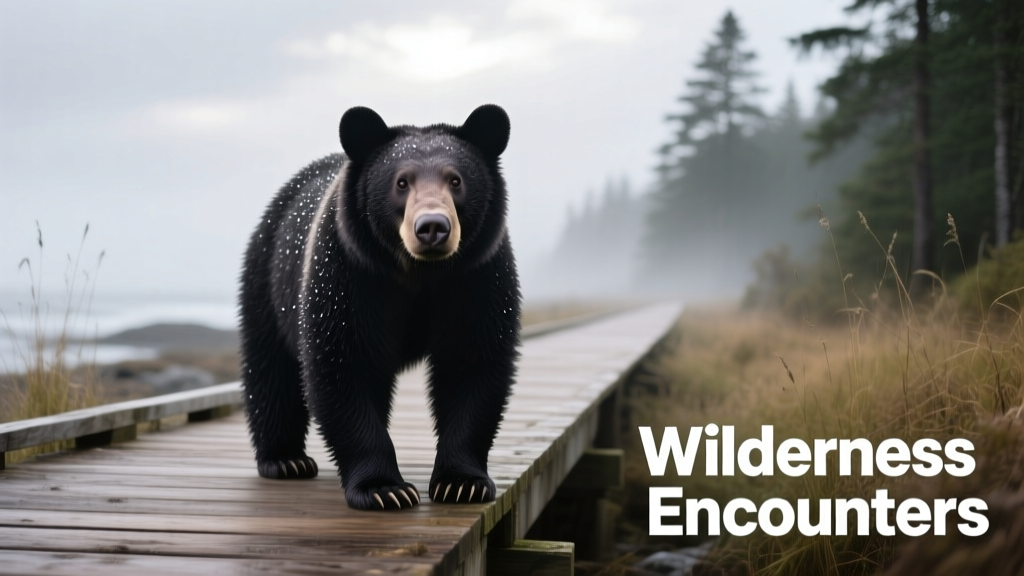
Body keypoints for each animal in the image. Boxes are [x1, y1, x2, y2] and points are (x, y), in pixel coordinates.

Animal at [237, 104, 520, 511]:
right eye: (401, 183)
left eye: (456, 180)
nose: (432, 227)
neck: (420, 273)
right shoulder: (347, 271)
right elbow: (343, 364)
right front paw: (385, 488)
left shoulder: (478, 275)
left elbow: (472, 362)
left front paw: (461, 483)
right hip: (267, 277)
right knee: (271, 368)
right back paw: (285, 459)